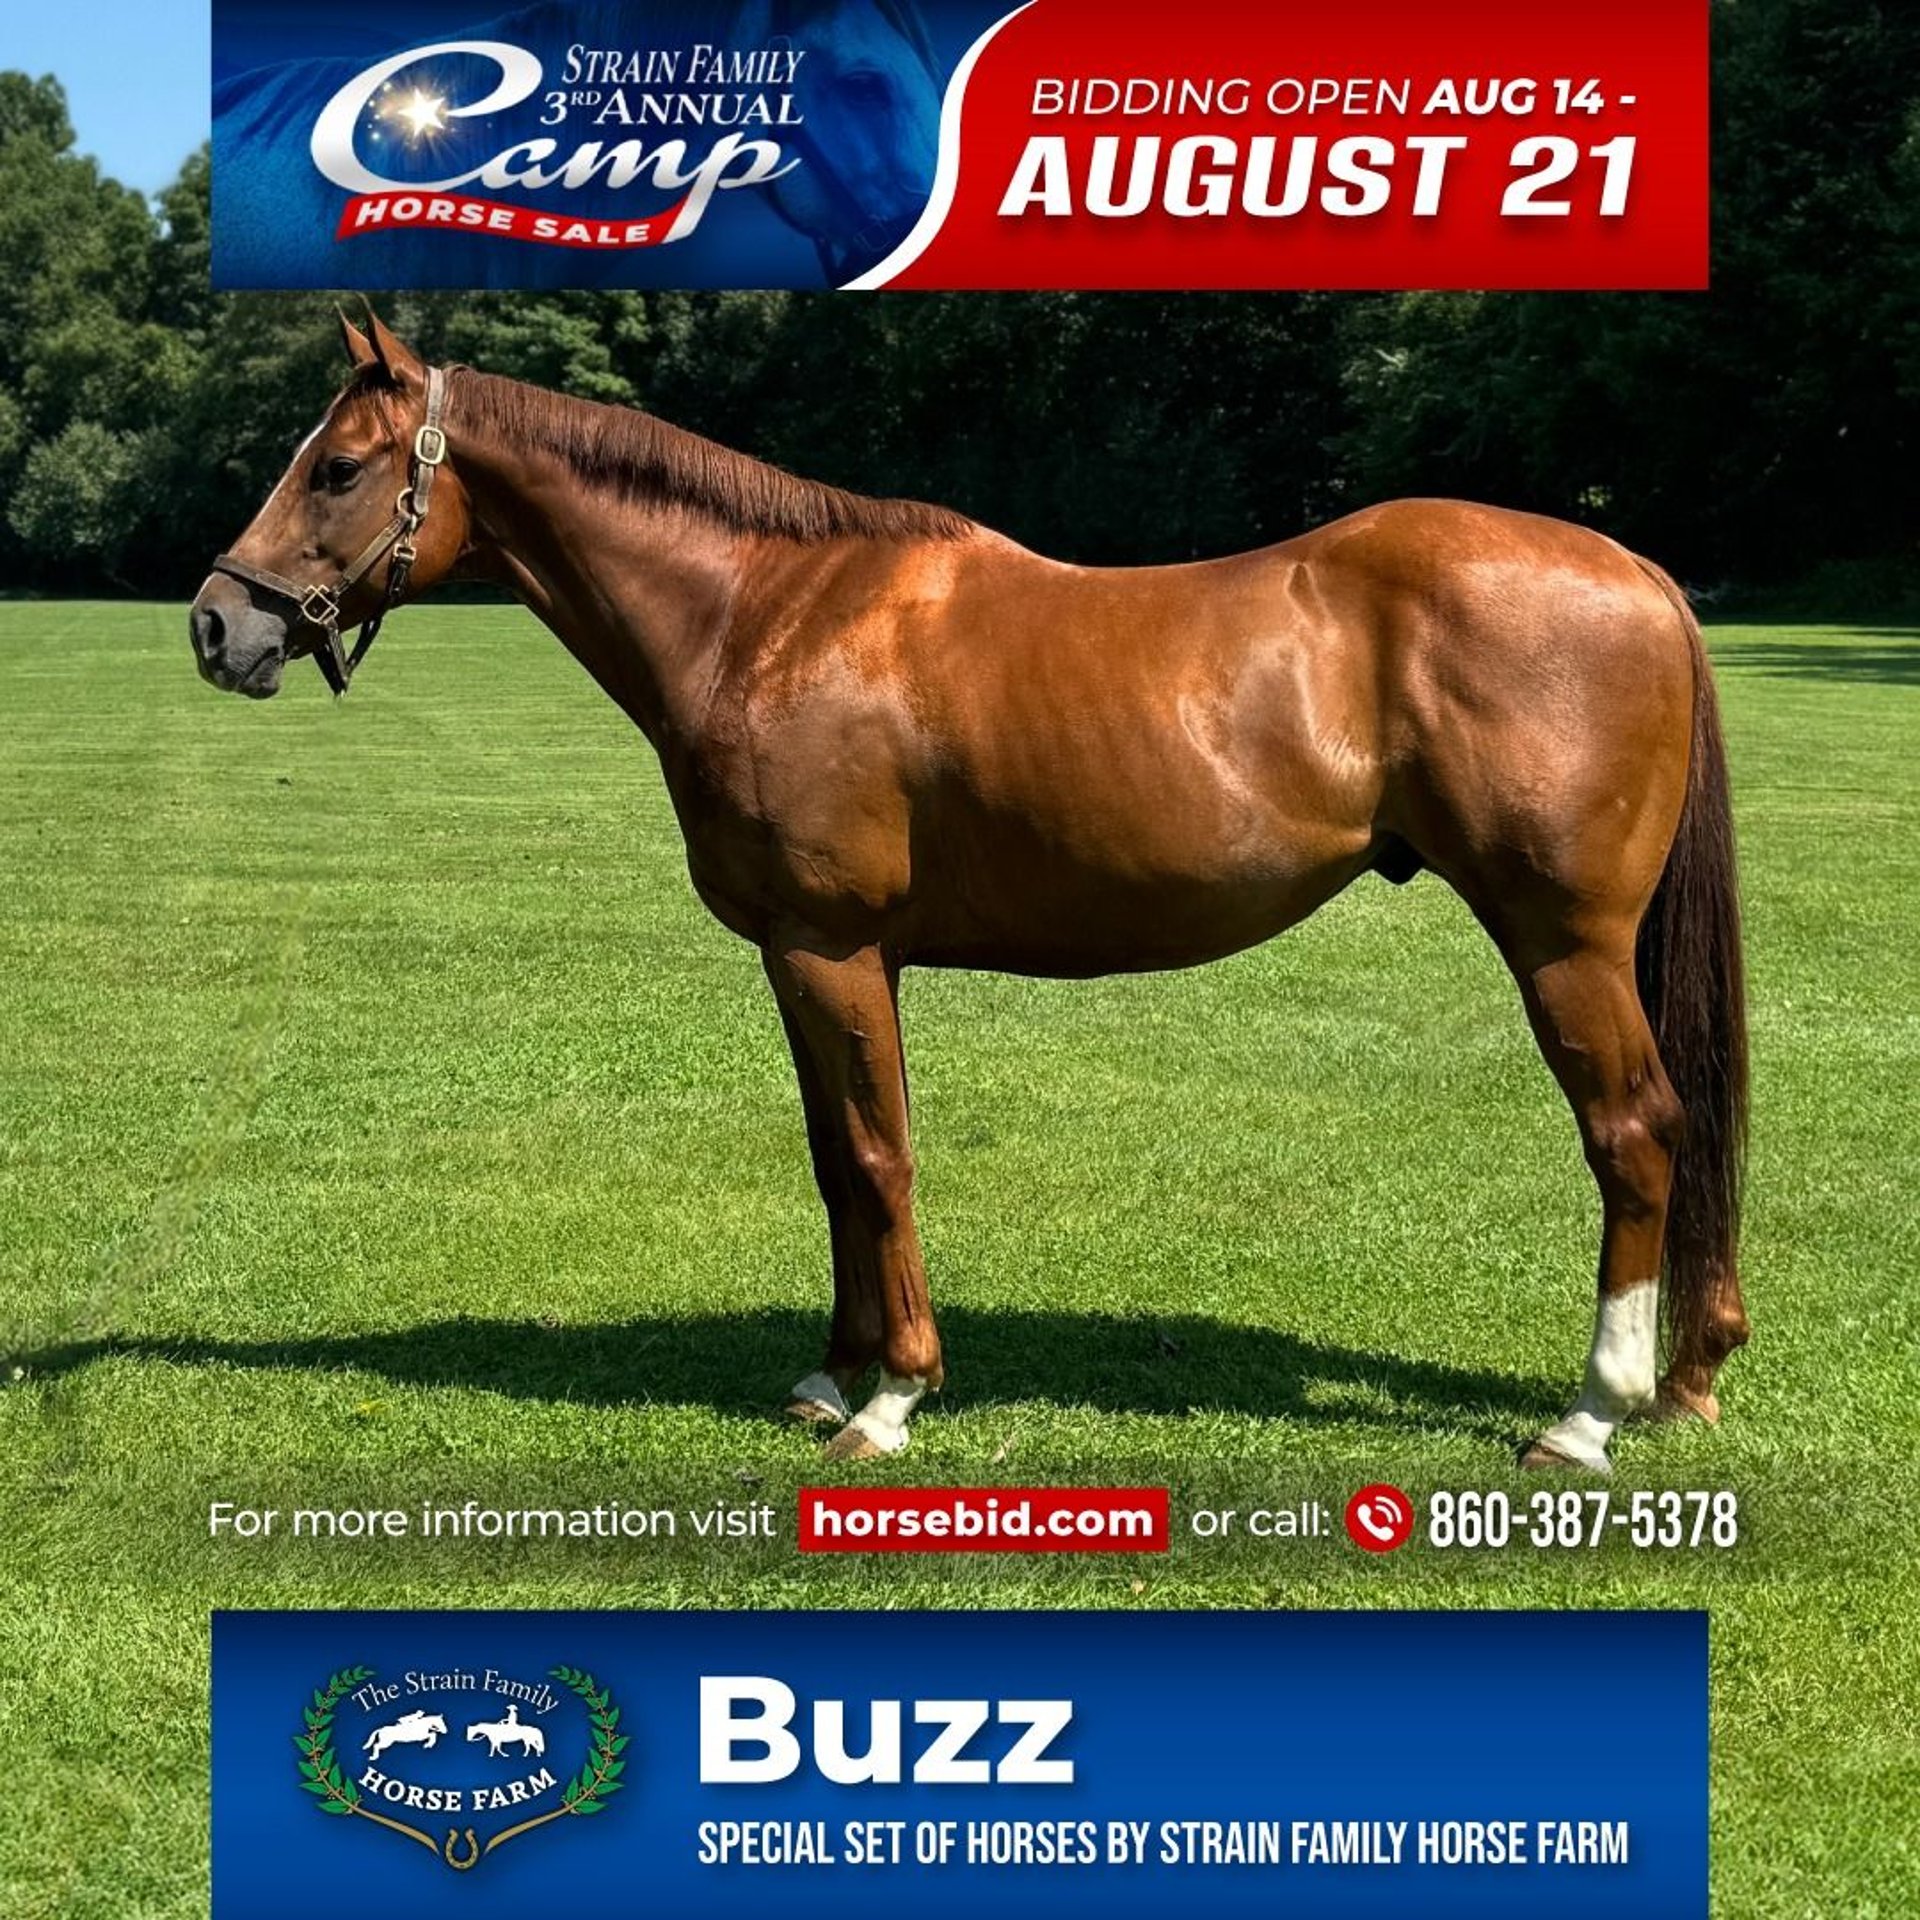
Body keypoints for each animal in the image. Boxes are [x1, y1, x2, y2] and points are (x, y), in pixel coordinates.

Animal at [188, 313, 1751, 1473]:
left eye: (337, 468)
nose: (217, 626)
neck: (767, 615)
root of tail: (1636, 571)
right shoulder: (808, 956)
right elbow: (834, 1162)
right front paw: (830, 1376)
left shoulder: (832, 947)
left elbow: (883, 1160)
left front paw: (893, 1398)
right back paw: (1689, 1375)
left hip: (1564, 947)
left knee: (1636, 1133)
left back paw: (1592, 1412)